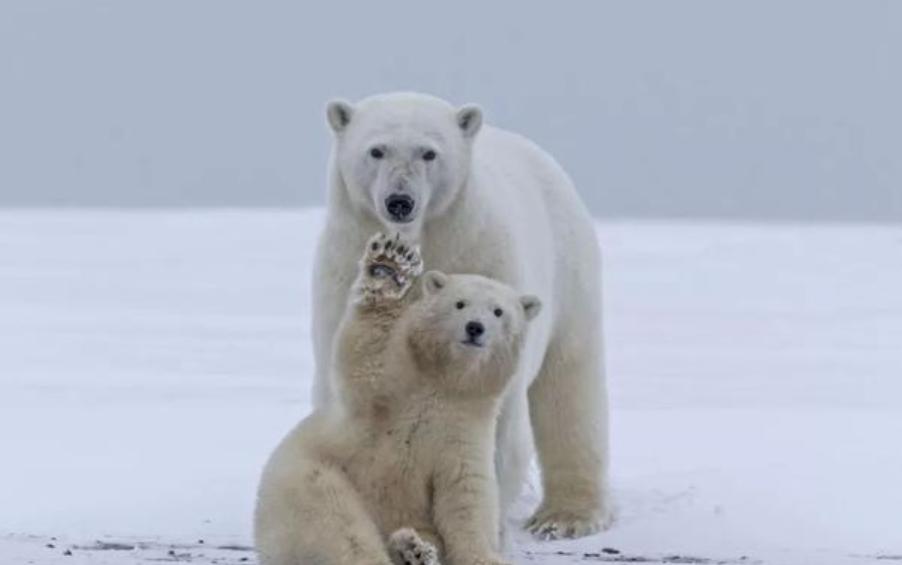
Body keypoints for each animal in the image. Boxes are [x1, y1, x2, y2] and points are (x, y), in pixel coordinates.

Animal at [256, 232, 542, 565]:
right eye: (459, 304)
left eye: (498, 311)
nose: (475, 327)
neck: (443, 382)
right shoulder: (392, 390)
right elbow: (365, 354)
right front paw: (389, 265)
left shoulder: (465, 427)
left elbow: (466, 493)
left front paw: (485, 556)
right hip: (308, 476)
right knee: (336, 520)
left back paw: (414, 549)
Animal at [310, 92, 611, 538]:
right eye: (376, 150)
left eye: (429, 152)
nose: (400, 201)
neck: (423, 240)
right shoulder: (343, 267)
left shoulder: (481, 255)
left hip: (571, 272)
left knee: (569, 384)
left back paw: (566, 516)